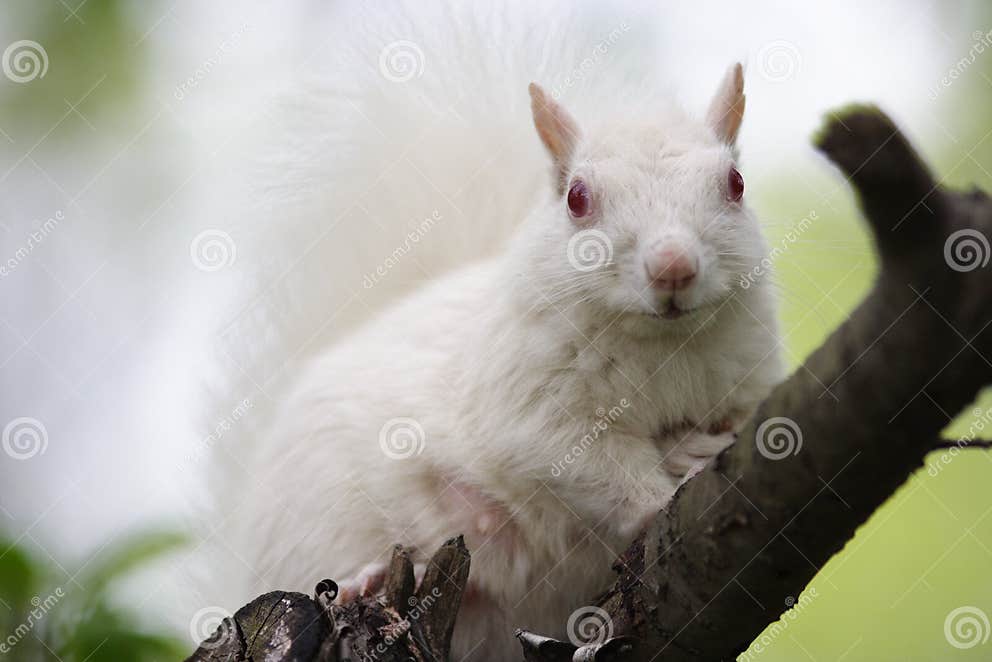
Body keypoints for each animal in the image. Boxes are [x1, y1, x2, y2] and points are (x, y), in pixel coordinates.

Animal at [203, 5, 784, 660]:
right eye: (577, 198)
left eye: (736, 184)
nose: (673, 268)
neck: (662, 346)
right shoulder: (532, 412)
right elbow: (594, 468)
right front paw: (665, 483)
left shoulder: (747, 383)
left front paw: (695, 448)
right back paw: (365, 579)